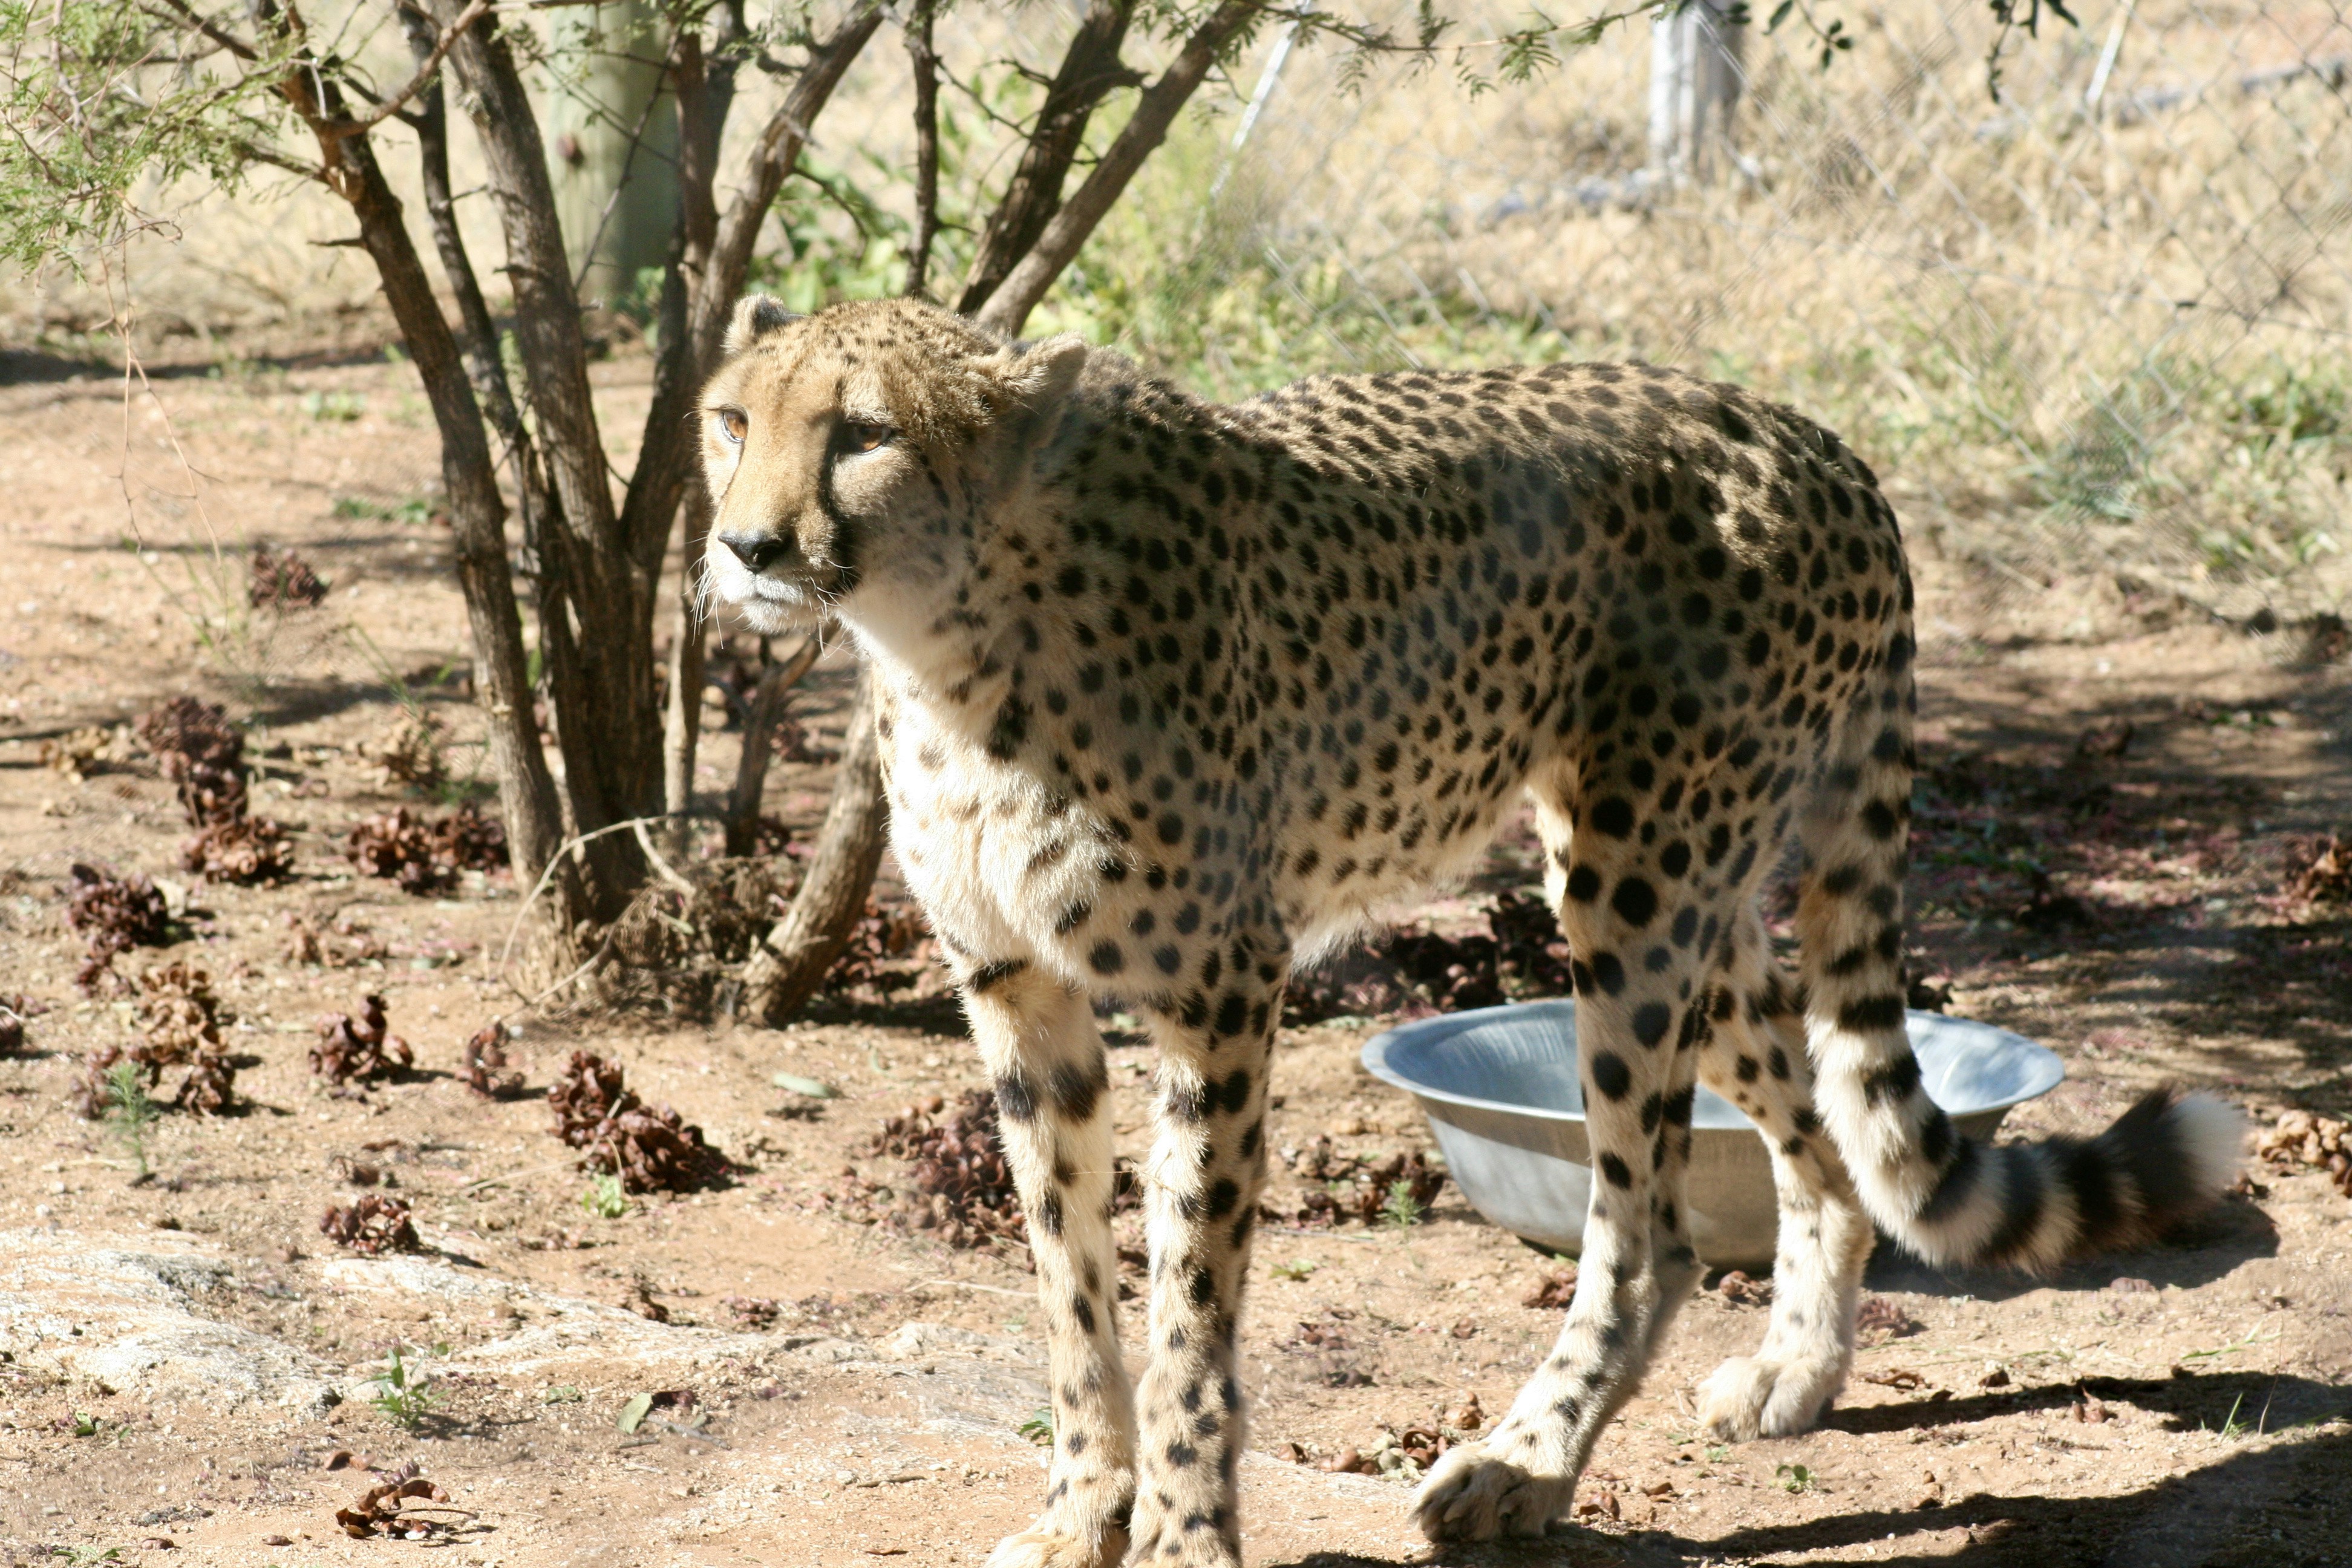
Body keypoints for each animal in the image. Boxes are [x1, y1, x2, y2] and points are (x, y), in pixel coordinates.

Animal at [696, 295, 2244, 1566]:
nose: (743, 545)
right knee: (1817, 1137)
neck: (950, 631)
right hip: (1681, 891)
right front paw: (1082, 1513)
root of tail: (1806, 434)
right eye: (732, 419)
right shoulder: (1017, 994)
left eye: (863, 433)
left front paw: (1186, 1539)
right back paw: (1794, 1378)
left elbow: (1188, 1307)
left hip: (1638, 893)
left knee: (1652, 1229)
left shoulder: (1219, 991)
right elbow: (1069, 1289)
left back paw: (1527, 1464)